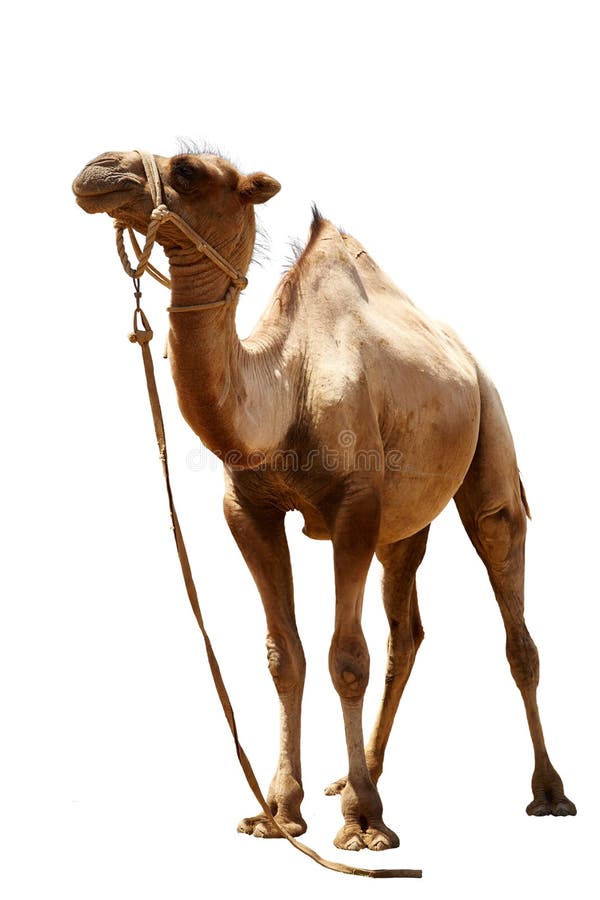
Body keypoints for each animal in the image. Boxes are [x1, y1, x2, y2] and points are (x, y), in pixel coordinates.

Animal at [73, 148, 576, 853]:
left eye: (190, 170)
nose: (99, 169)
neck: (287, 387)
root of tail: (468, 360)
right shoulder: (248, 510)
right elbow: (285, 656)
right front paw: (279, 811)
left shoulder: (354, 509)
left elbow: (346, 658)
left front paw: (362, 824)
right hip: (403, 526)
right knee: (406, 634)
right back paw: (361, 774)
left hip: (491, 443)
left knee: (512, 618)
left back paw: (548, 793)